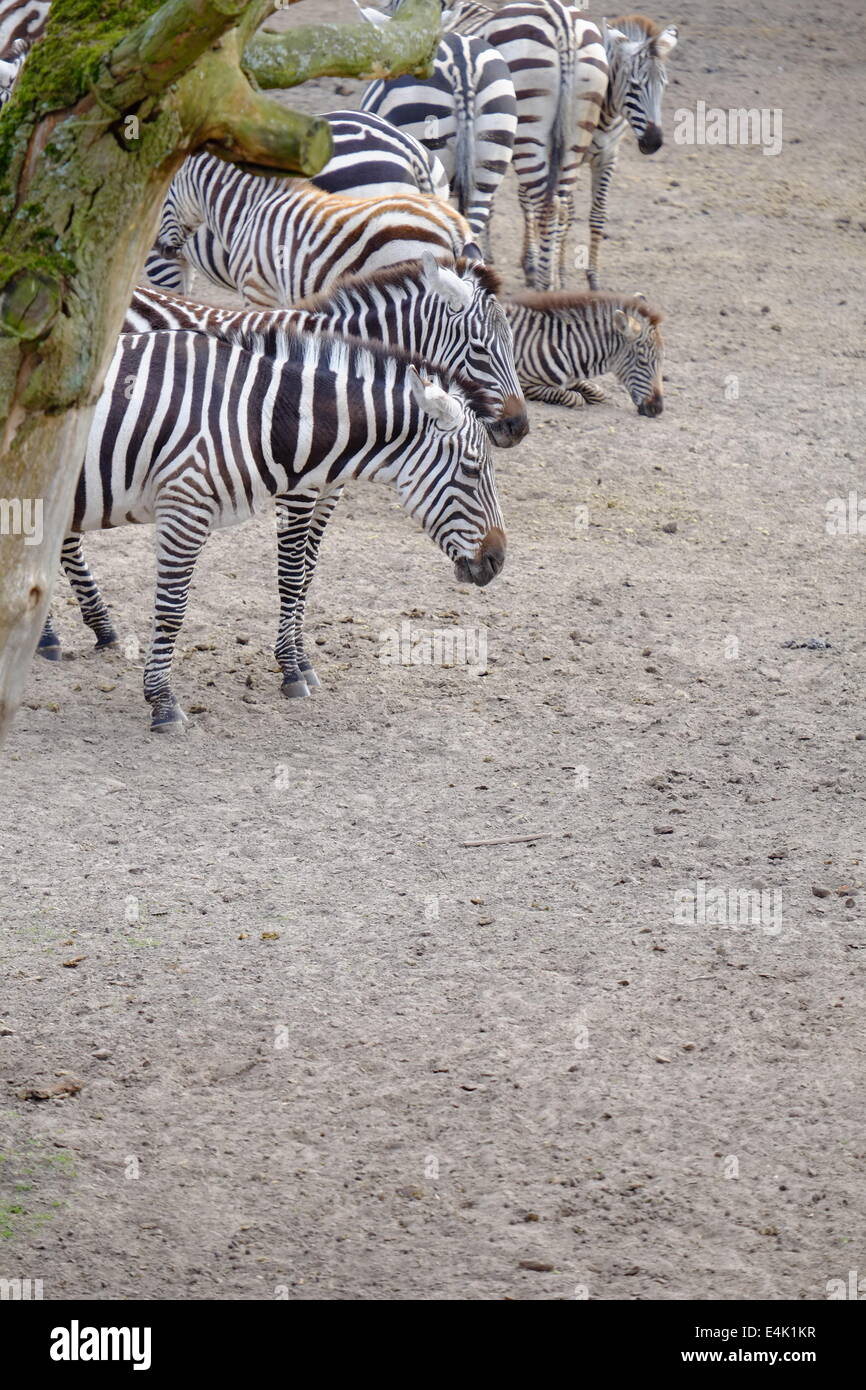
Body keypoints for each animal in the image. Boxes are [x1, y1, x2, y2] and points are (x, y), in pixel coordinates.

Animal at [40, 329, 505, 732]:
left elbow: (300, 577)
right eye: (472, 468)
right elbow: (177, 609)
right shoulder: (185, 505)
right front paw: (163, 702)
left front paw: (296, 667)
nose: (499, 561)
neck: (256, 417)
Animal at [505, 289, 663, 414]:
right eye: (642, 362)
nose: (658, 409)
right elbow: (574, 397)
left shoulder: (571, 379)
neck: (568, 350)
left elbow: (597, 392)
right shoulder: (524, 385)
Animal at [583, 16, 679, 289]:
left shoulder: (608, 157)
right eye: (635, 86)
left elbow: (598, 215)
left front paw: (593, 279)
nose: (653, 142)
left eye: (664, 86)